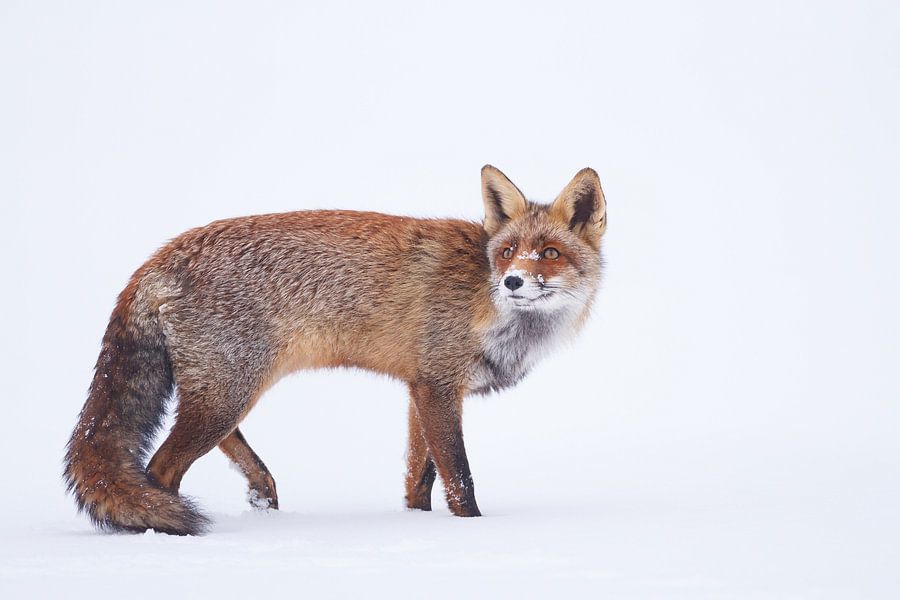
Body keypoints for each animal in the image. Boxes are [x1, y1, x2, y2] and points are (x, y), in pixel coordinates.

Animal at [63, 165, 607, 535]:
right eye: (508, 252)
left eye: (550, 253)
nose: (513, 281)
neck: (485, 300)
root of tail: (159, 255)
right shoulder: (437, 387)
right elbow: (460, 479)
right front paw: (474, 532)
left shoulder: (420, 390)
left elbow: (419, 482)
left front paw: (418, 529)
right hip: (228, 391)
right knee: (159, 470)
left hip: (227, 390)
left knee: (215, 444)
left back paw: (262, 492)